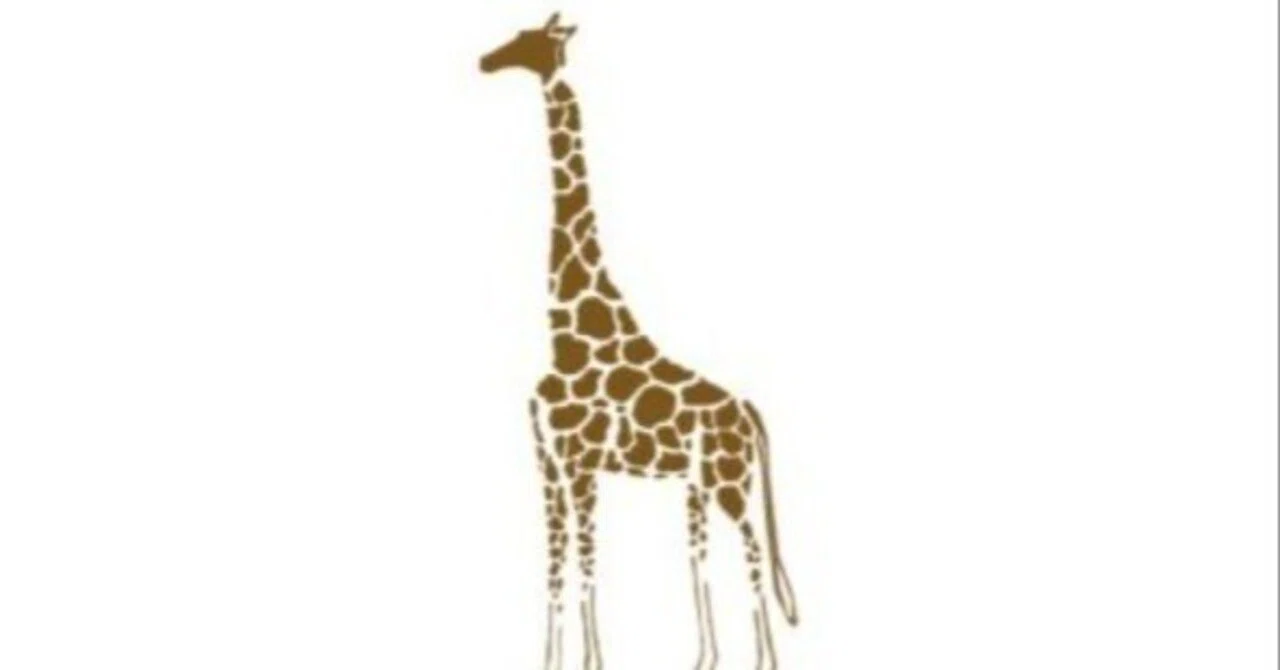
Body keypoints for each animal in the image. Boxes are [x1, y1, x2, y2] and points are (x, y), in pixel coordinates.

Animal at [480, 14, 798, 670]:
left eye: (527, 39)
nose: (483, 61)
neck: (565, 333)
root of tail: (749, 412)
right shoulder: (547, 462)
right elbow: (555, 570)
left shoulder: (580, 464)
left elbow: (586, 566)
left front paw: (591, 662)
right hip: (698, 485)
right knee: (703, 558)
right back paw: (705, 660)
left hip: (729, 481)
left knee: (752, 551)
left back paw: (763, 661)